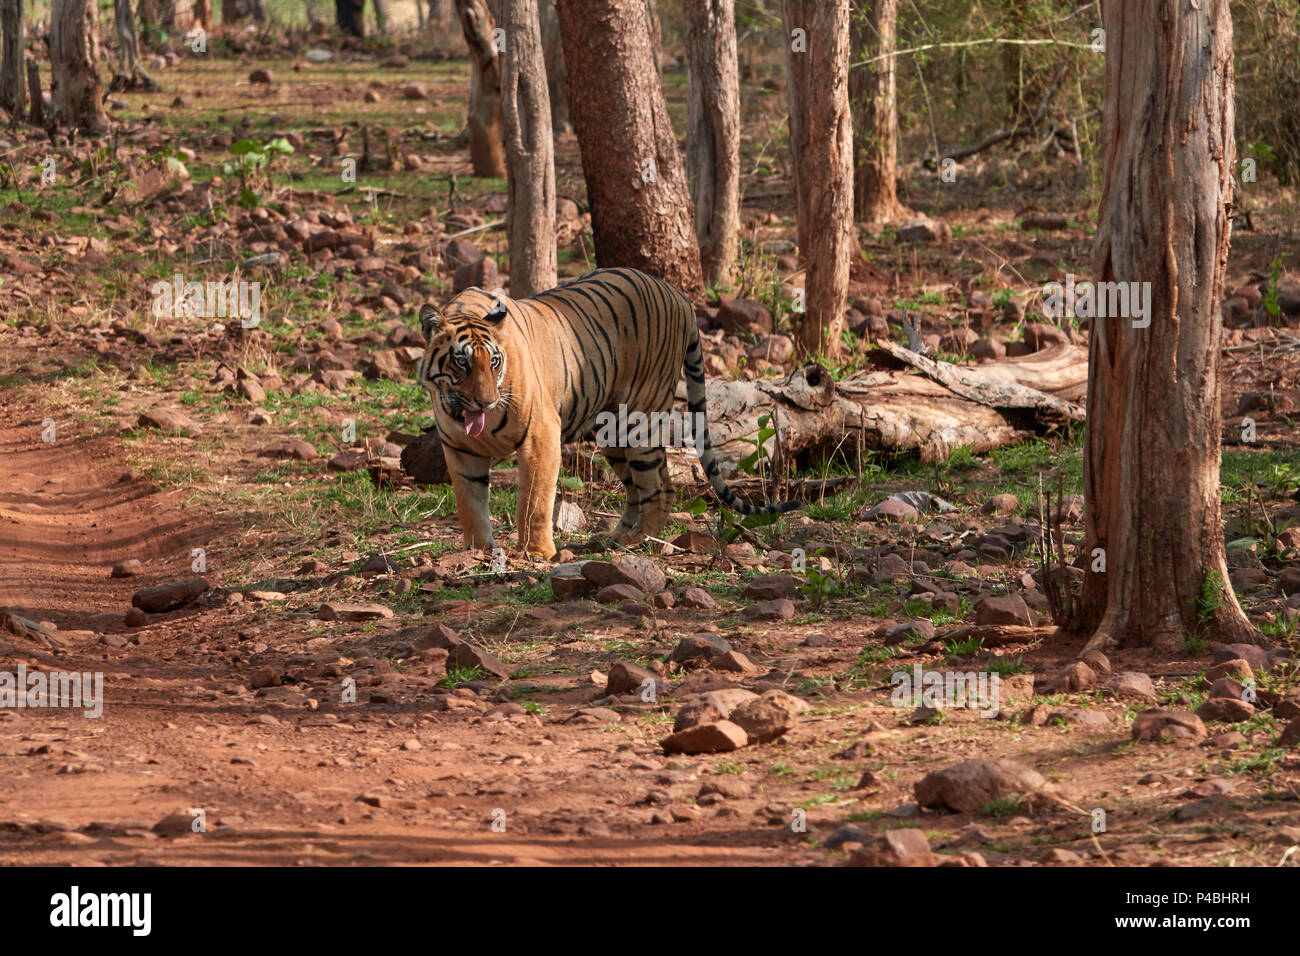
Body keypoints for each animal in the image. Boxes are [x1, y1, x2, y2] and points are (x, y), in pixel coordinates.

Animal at [414, 266, 799, 560]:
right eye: (461, 362)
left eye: (494, 362)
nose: (486, 402)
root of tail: (678, 296)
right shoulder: (460, 450)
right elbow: (470, 504)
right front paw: (478, 552)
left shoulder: (540, 436)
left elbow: (535, 500)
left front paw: (535, 553)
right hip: (610, 431)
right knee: (645, 487)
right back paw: (615, 537)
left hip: (639, 419)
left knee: (658, 487)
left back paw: (635, 541)